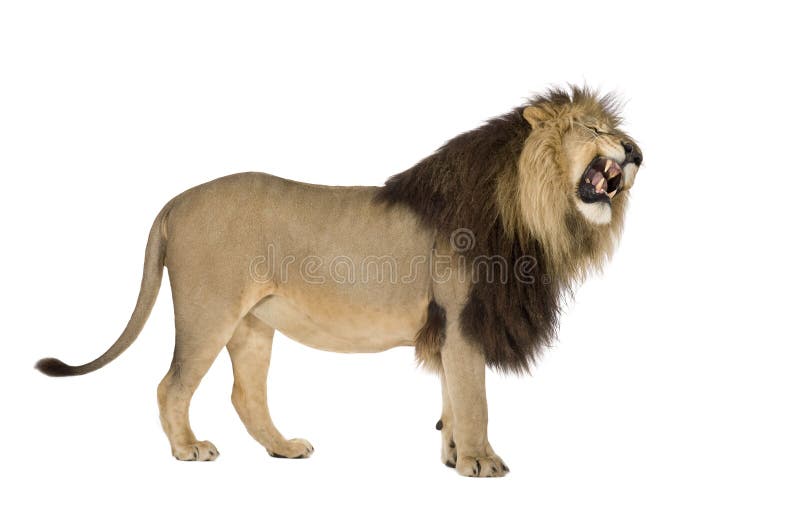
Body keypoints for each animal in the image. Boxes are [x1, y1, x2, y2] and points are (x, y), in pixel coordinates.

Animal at [36, 86, 642, 477]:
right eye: (596, 129)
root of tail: (173, 202)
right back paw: (188, 450)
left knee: (245, 394)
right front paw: (480, 462)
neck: (530, 209)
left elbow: (451, 395)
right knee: (172, 384)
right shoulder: (462, 319)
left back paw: (282, 449)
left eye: (619, 132)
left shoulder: (448, 331)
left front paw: (452, 455)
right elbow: (475, 399)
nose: (636, 151)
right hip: (208, 312)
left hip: (253, 325)